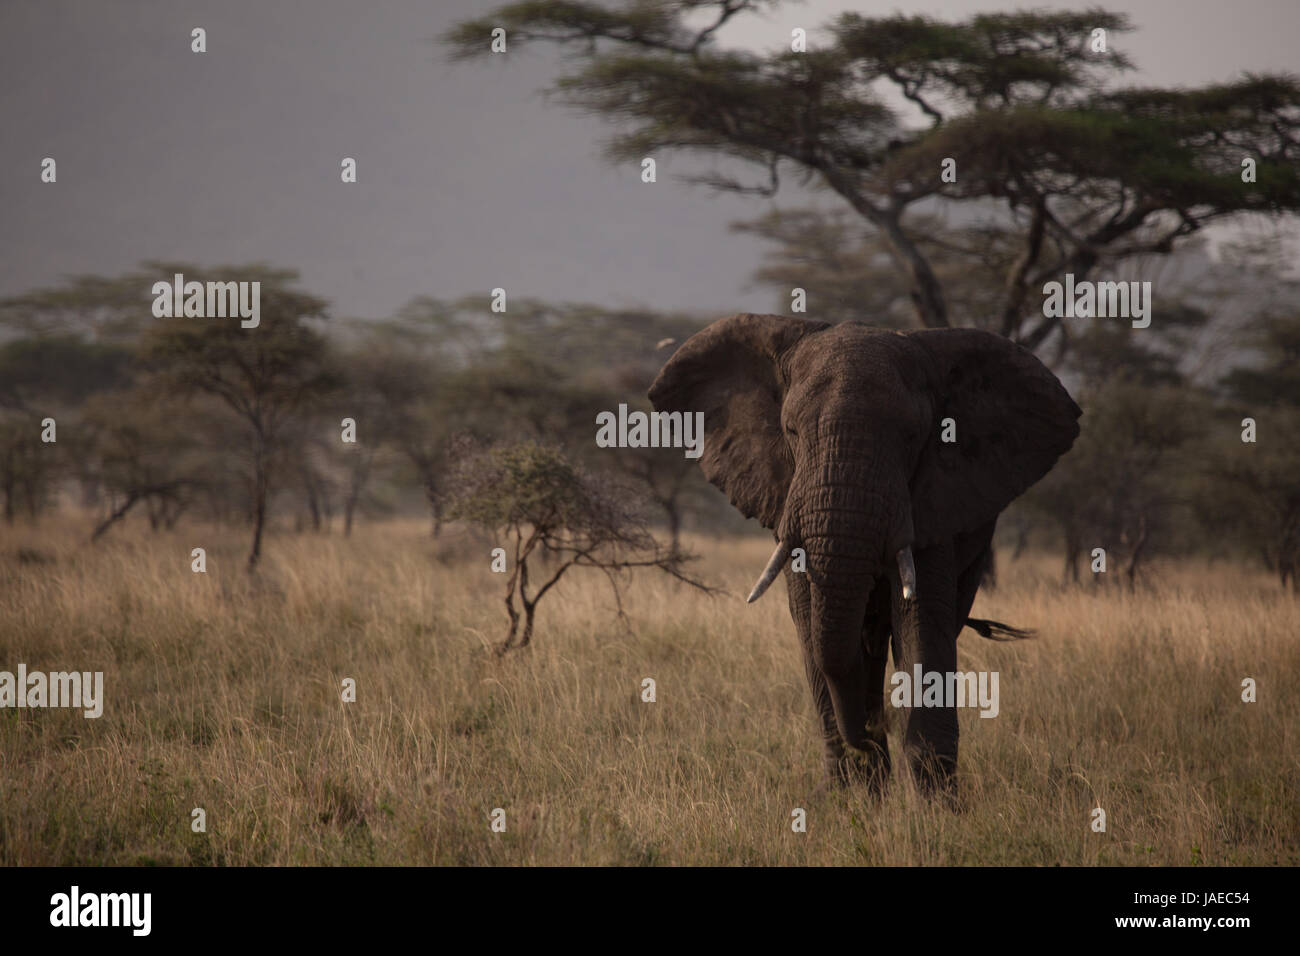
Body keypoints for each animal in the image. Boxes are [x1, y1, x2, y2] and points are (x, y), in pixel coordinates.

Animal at [648, 314, 1081, 794]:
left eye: (912, 436)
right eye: (791, 432)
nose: (879, 727)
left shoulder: (931, 499)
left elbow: (920, 621)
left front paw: (933, 803)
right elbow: (812, 620)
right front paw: (851, 794)